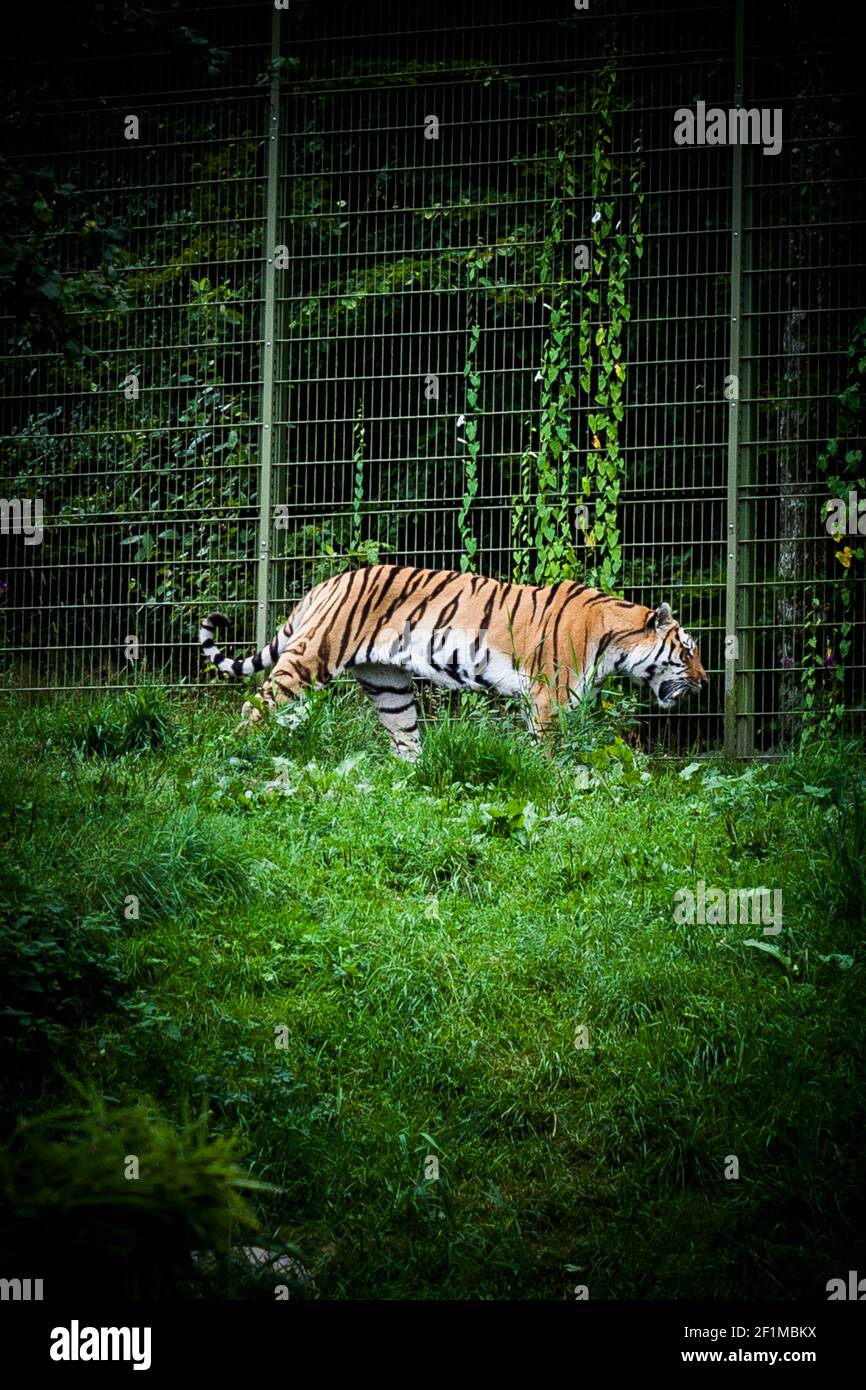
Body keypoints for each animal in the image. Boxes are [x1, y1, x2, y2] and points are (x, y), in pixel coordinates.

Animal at [198, 564, 707, 760]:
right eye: (687, 652)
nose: (704, 684)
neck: (614, 641)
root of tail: (327, 584)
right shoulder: (549, 698)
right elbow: (550, 751)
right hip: (311, 657)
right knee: (254, 707)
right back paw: (235, 755)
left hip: (389, 686)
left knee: (405, 739)